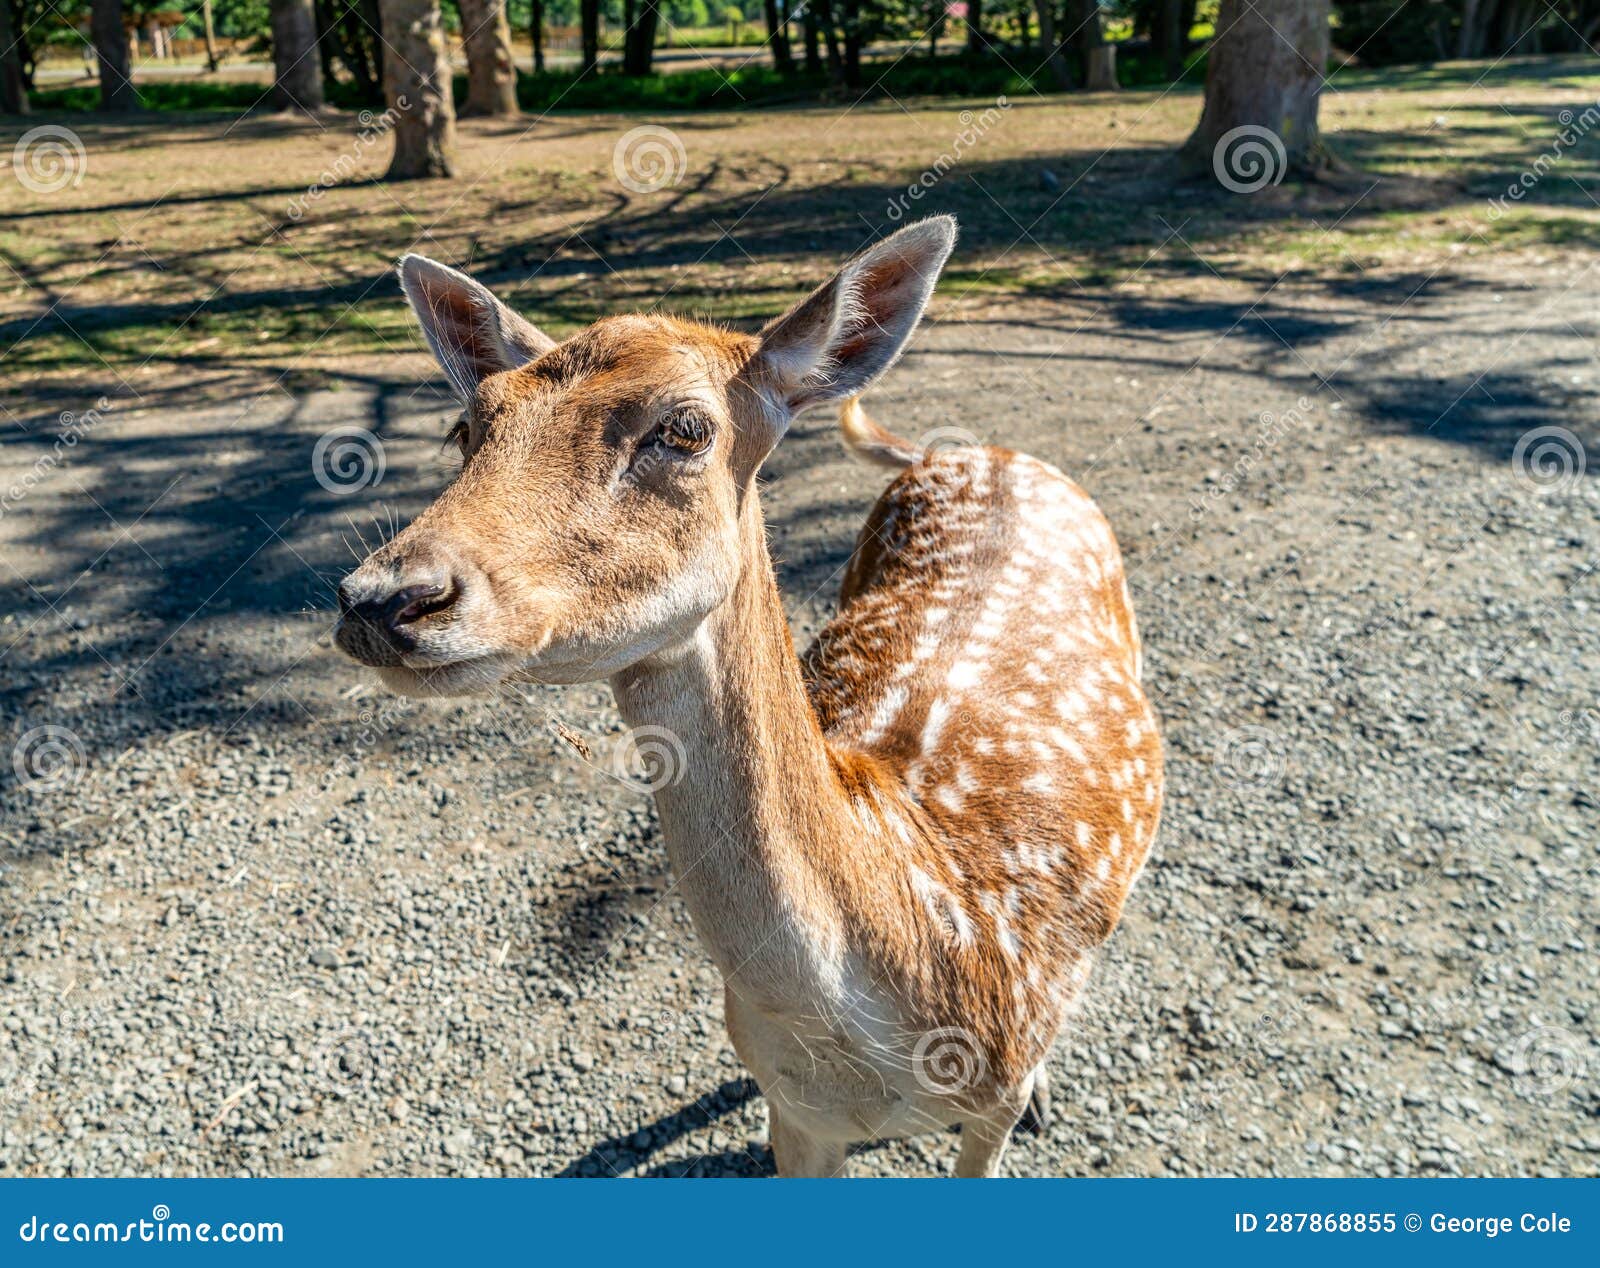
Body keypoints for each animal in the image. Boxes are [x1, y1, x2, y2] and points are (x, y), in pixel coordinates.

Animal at [333, 216, 1163, 1177]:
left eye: (686, 427)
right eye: (468, 425)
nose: (382, 598)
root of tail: (963, 449)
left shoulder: (992, 1093)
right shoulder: (793, 1115)